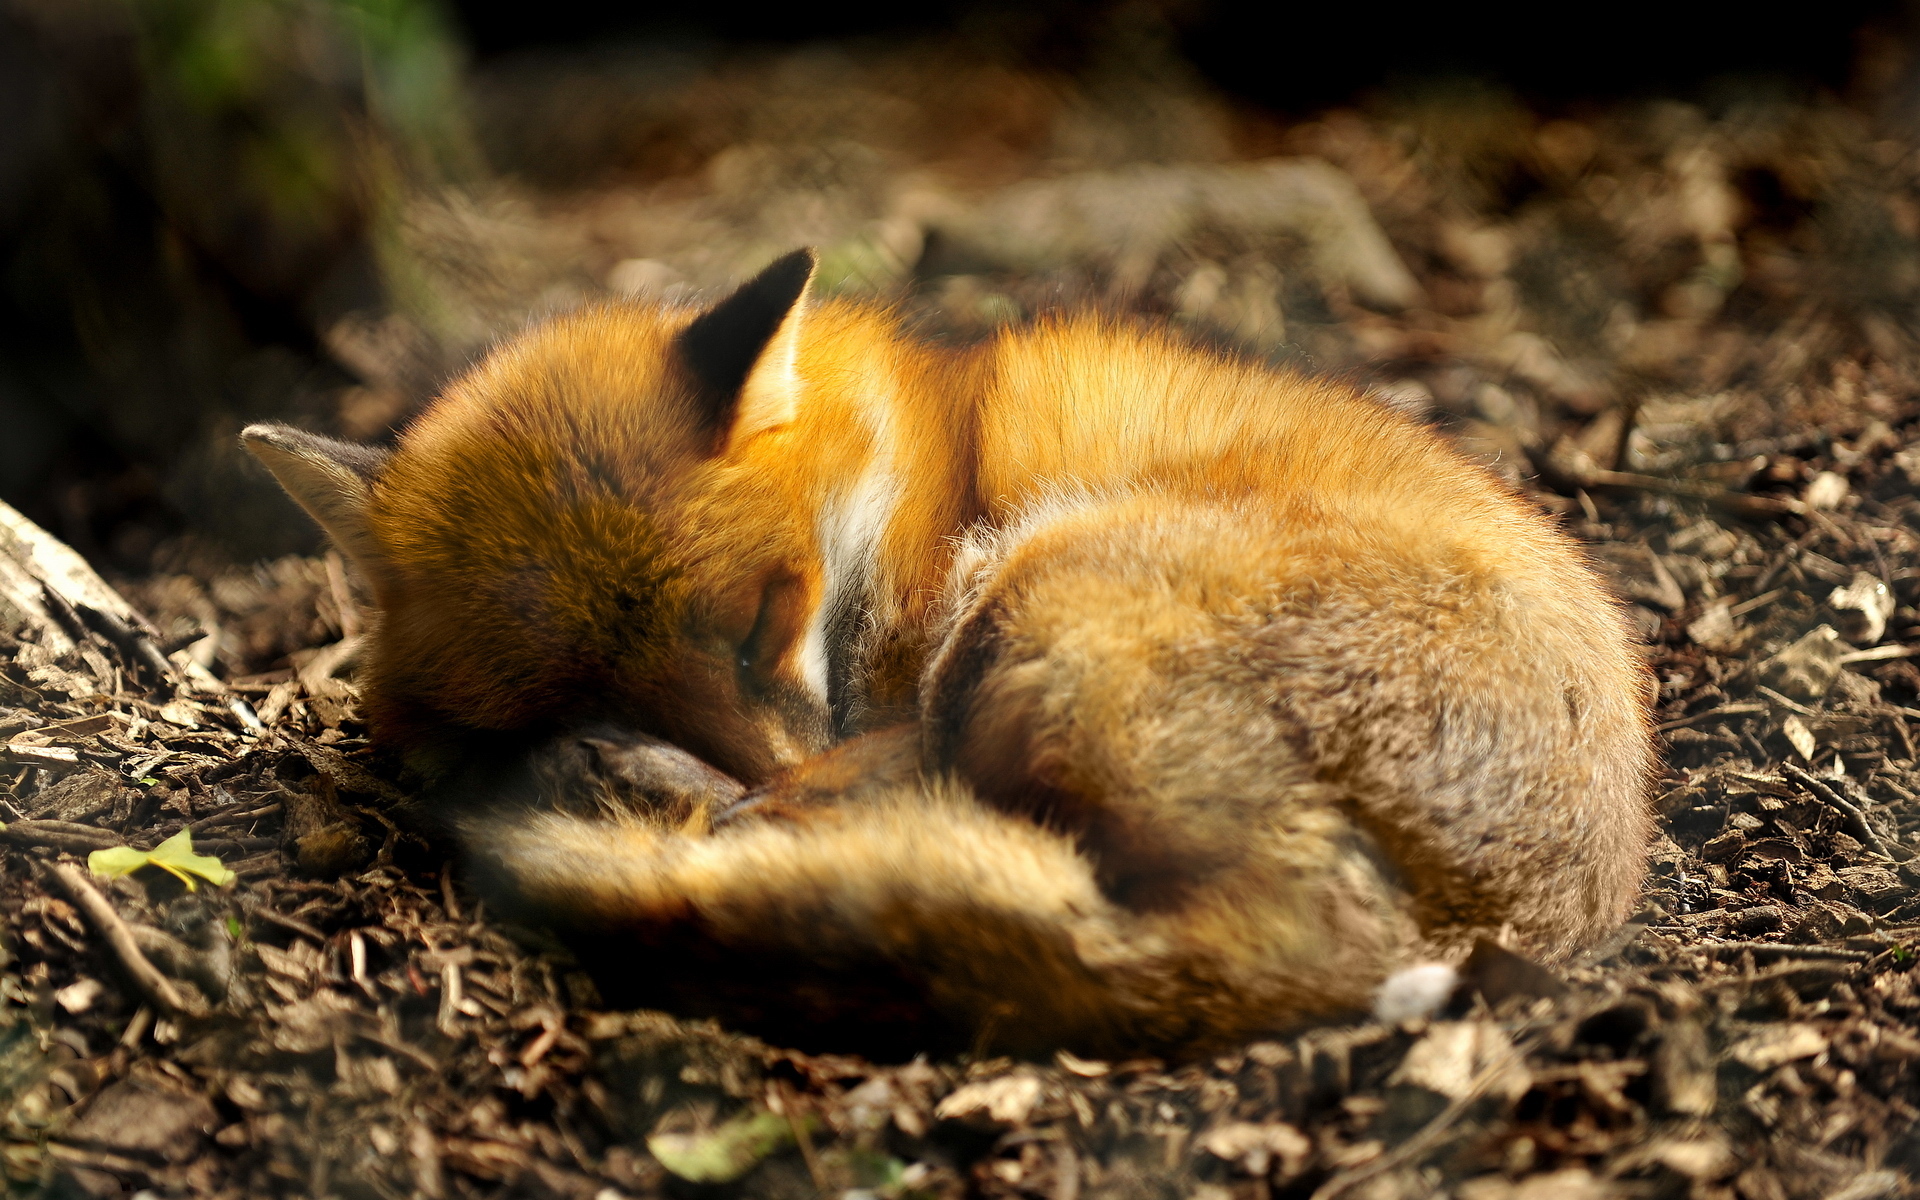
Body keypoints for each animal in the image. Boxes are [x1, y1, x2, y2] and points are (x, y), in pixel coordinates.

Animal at [243, 248, 1655, 1057]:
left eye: (762, 621)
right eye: (564, 683)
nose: (749, 770)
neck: (907, 471)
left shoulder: (901, 663)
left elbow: (863, 759)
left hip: (1036, 597)